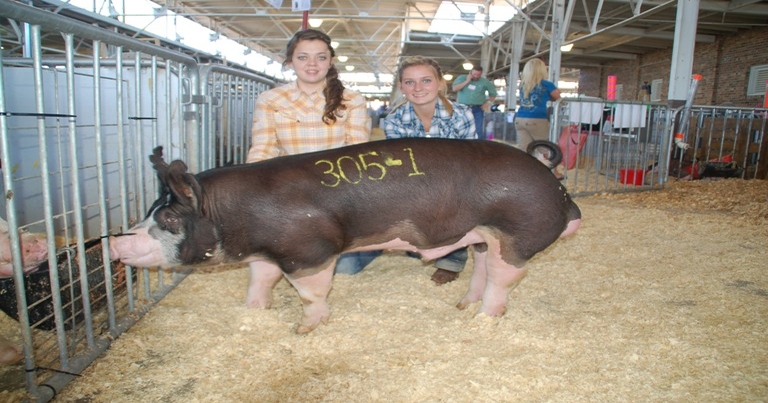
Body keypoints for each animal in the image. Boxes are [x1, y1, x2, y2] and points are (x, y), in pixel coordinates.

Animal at [110, 139, 581, 333]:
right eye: (150, 211)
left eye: (170, 218)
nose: (114, 241)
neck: (229, 215)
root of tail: (558, 188)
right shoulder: (268, 252)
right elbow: (259, 281)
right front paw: (254, 311)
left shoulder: (310, 251)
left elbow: (311, 294)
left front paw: (303, 330)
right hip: (482, 234)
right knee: (482, 265)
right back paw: (462, 306)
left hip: (517, 233)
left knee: (504, 279)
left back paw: (484, 318)